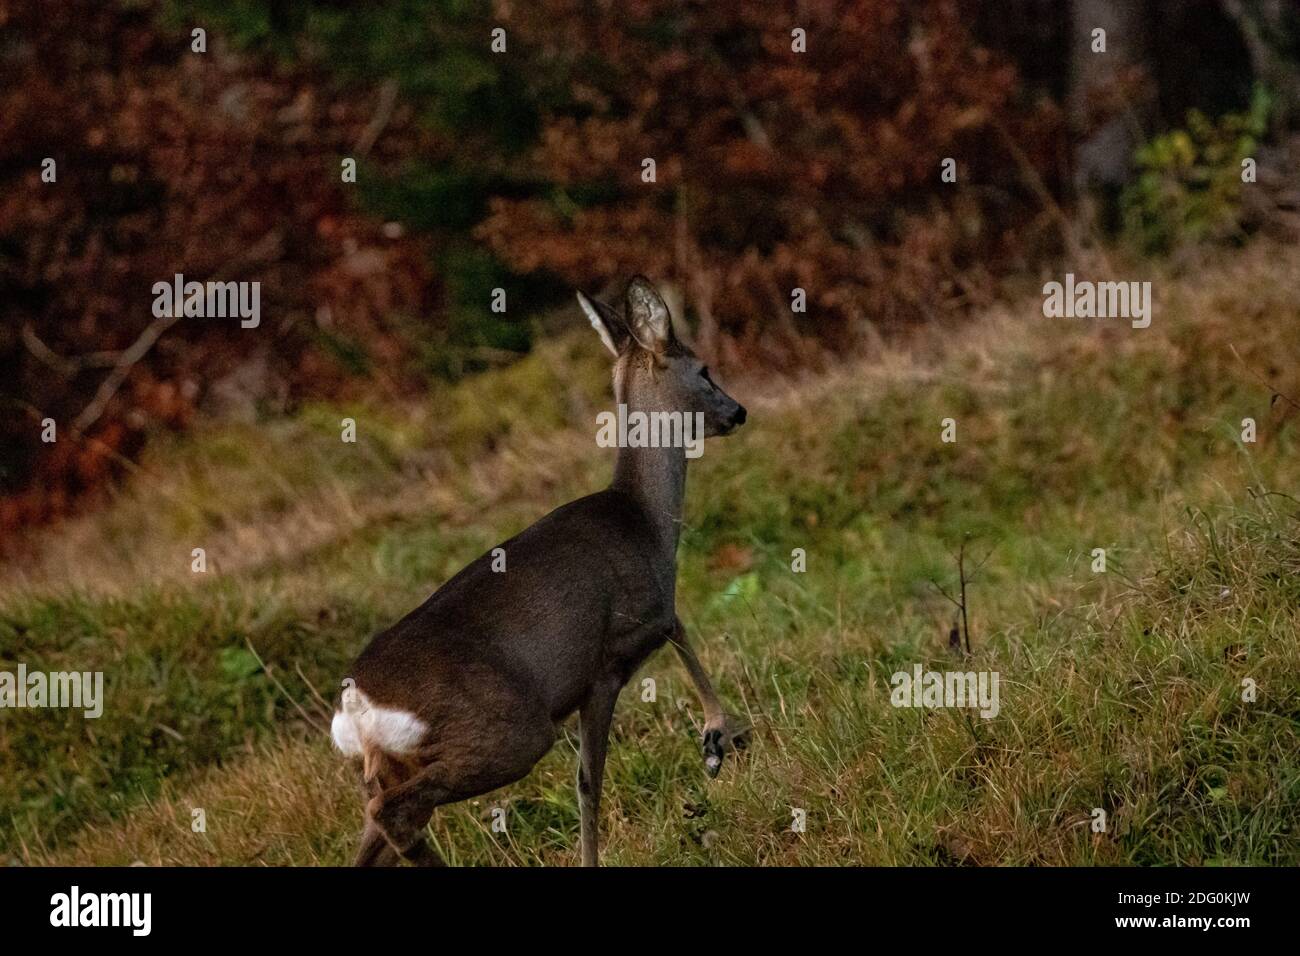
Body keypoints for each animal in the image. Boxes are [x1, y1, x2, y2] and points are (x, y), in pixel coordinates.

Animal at [330, 276, 748, 866]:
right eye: (705, 369)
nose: (738, 411)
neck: (642, 518)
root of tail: (357, 703)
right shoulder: (611, 652)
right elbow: (589, 782)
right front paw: (715, 739)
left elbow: (679, 626)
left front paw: (717, 740)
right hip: (513, 732)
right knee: (395, 813)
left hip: (395, 762)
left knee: (376, 831)